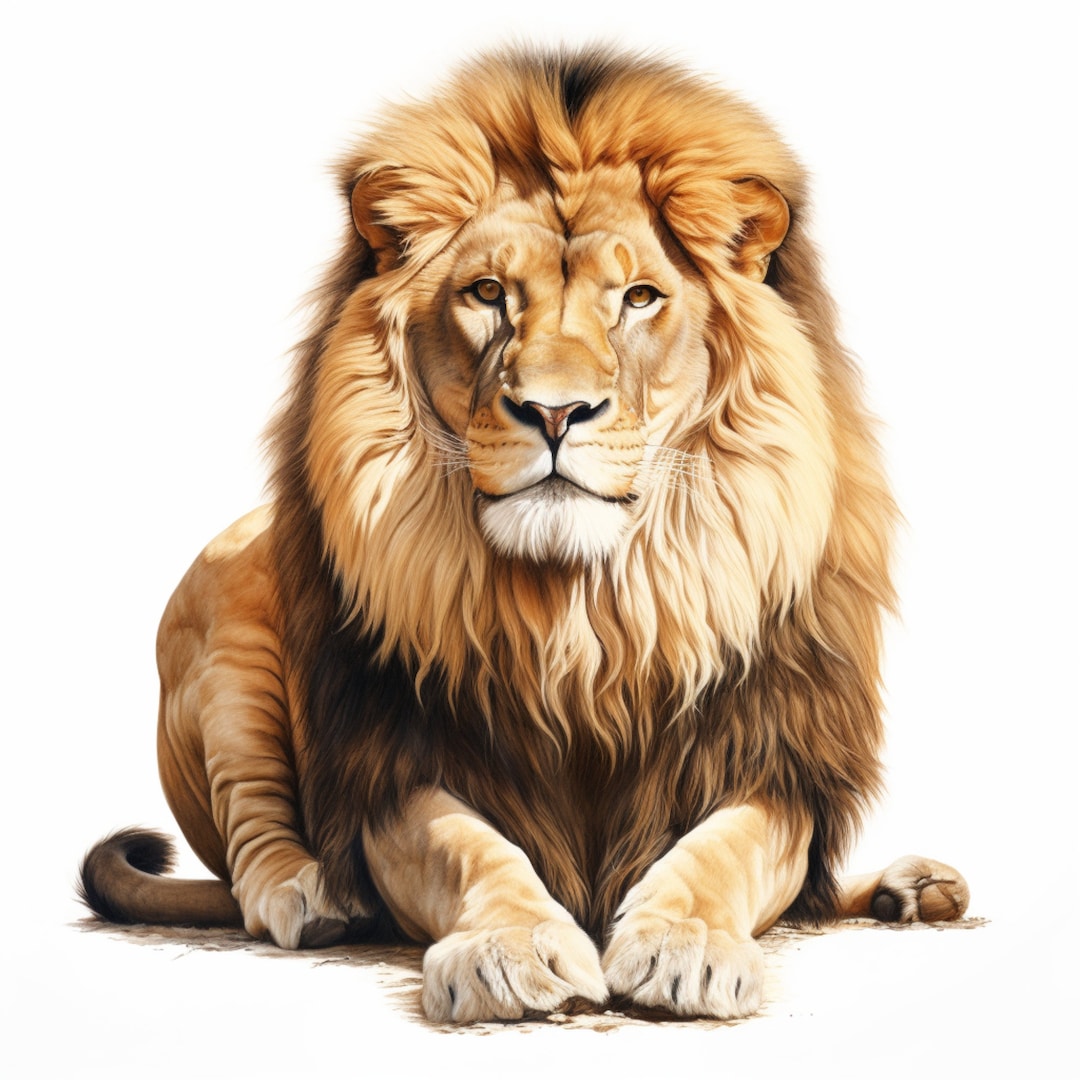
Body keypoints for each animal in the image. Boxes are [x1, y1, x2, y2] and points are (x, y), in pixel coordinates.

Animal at [79, 47, 969, 1023]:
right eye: (488, 294)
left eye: (640, 297)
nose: (553, 411)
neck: (584, 614)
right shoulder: (394, 764)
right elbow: (469, 846)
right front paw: (512, 949)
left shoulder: (772, 753)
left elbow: (724, 847)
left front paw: (684, 945)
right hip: (225, 622)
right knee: (252, 828)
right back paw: (310, 895)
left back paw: (909, 888)